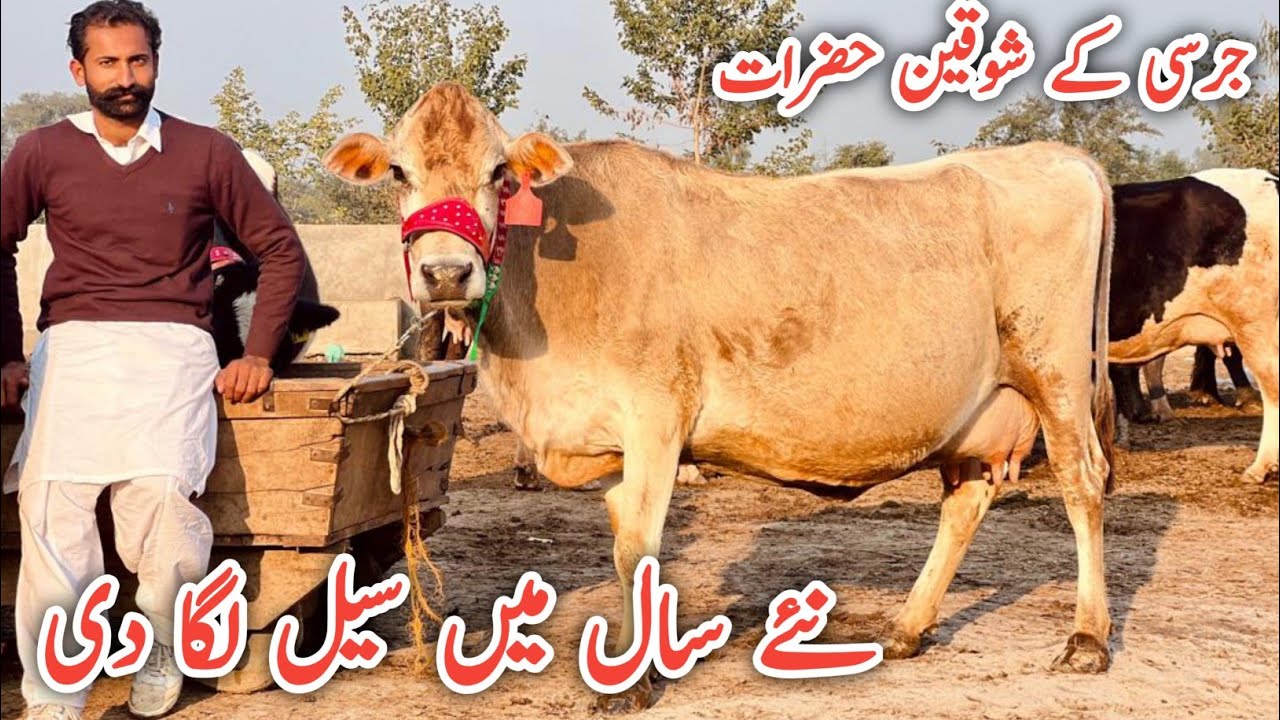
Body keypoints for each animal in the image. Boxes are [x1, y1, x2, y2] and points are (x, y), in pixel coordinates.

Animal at [323, 83, 1116, 707]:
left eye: (499, 175)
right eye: (400, 172)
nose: (446, 273)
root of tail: (1056, 156)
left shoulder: (655, 415)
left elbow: (638, 546)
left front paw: (629, 683)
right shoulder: (612, 438)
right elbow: (626, 541)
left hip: (1056, 374)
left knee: (1083, 482)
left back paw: (1087, 637)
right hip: (976, 408)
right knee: (966, 501)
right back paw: (906, 628)